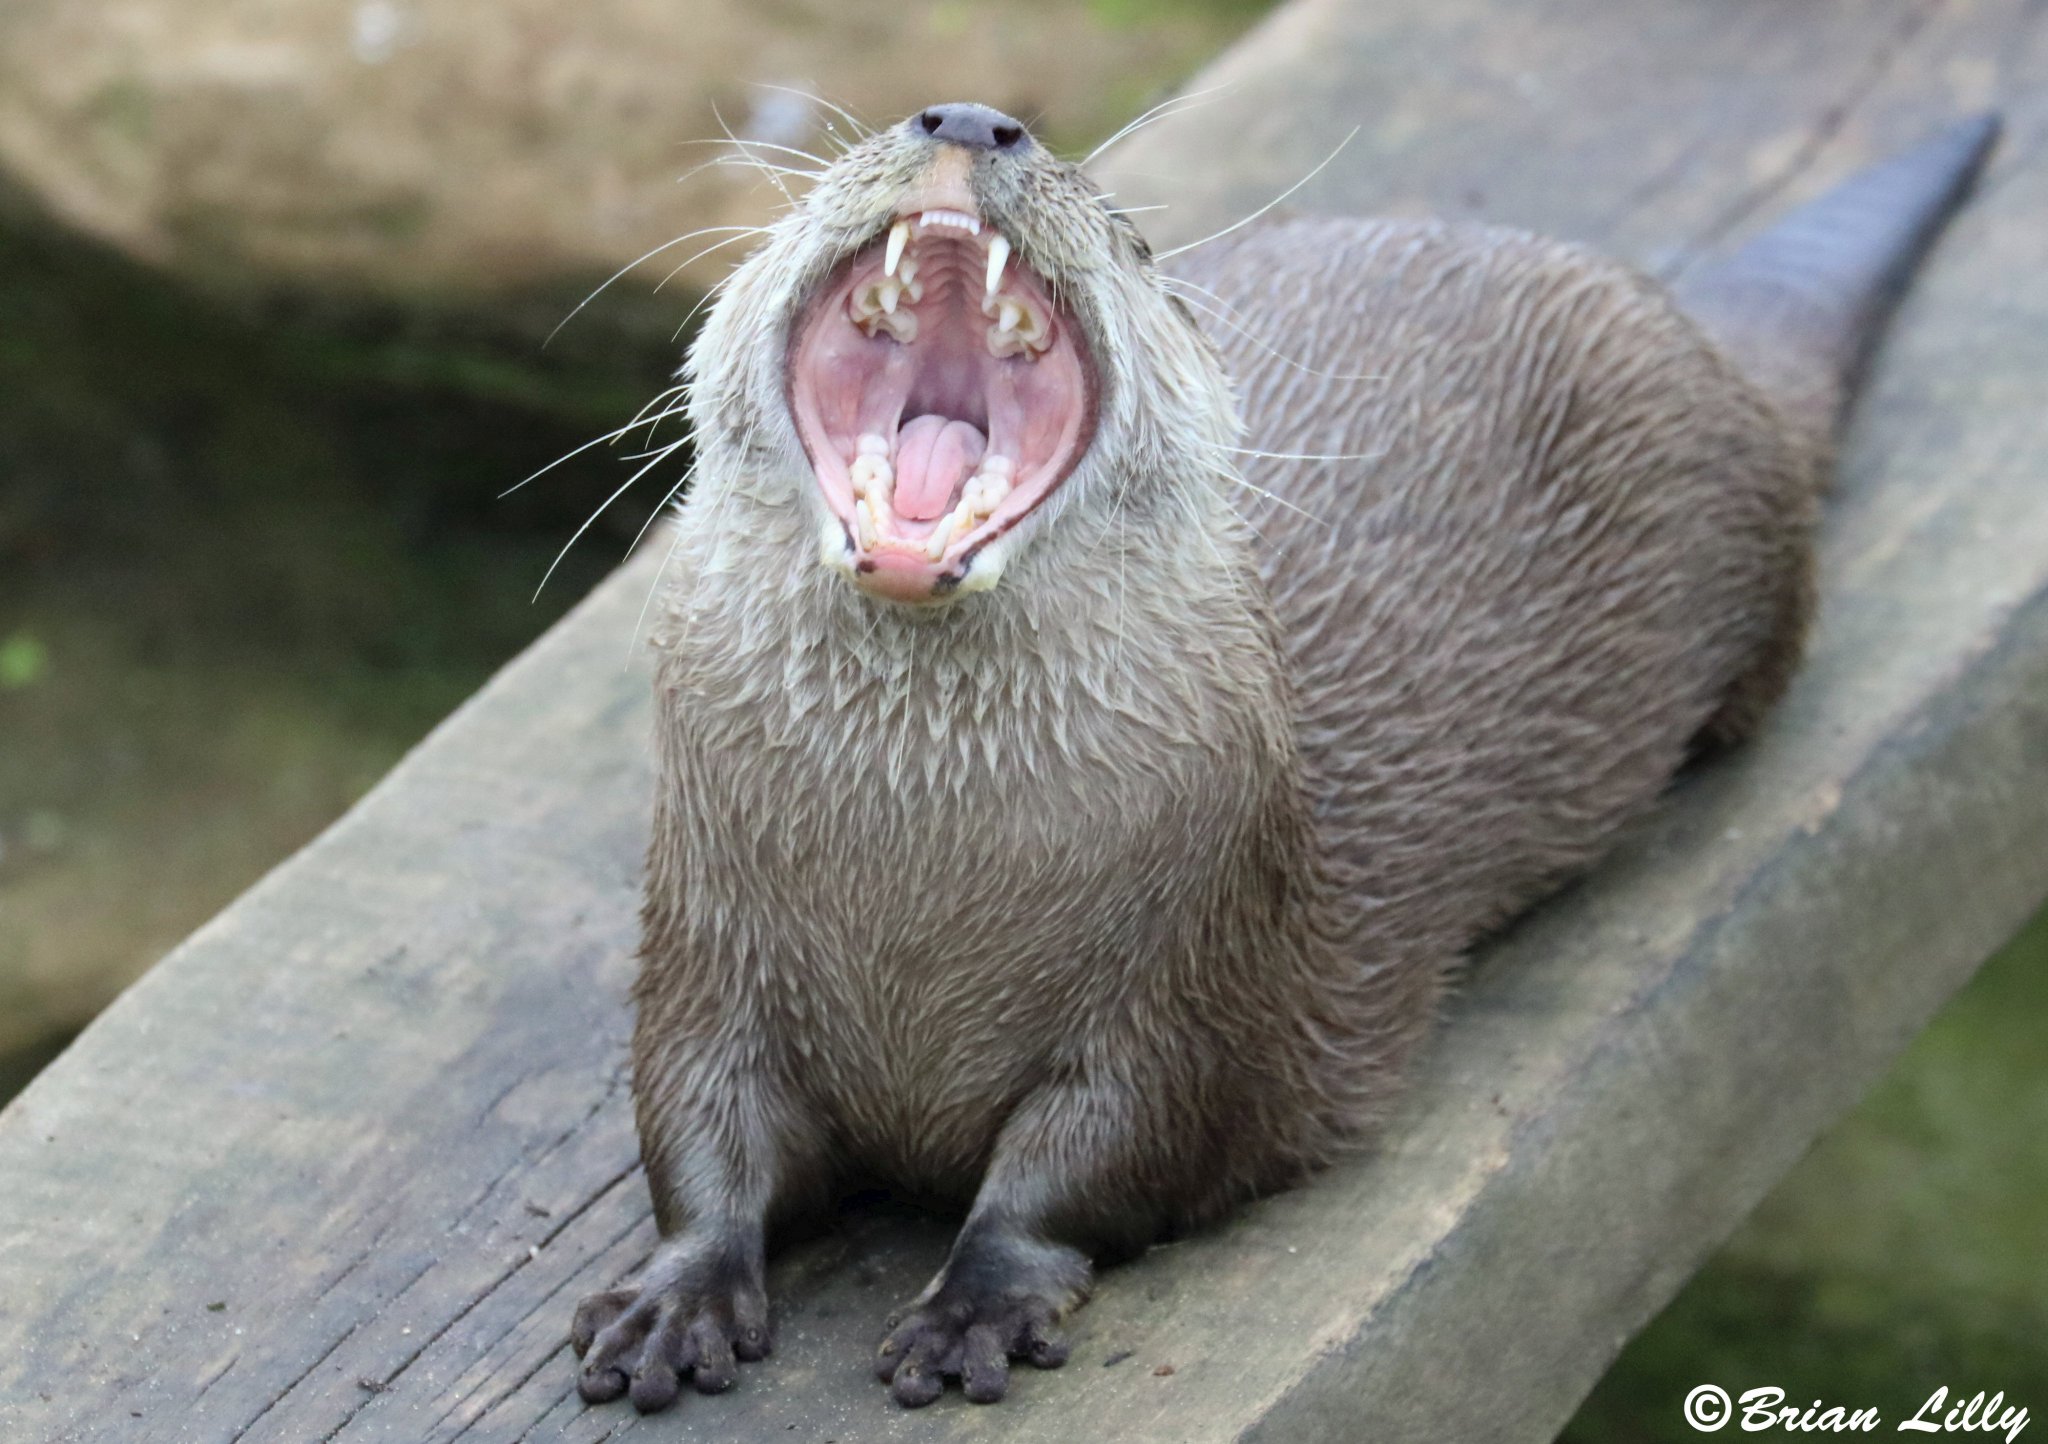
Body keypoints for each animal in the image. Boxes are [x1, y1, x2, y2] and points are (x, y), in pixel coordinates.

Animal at [568, 101, 1999, 1413]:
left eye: (1135, 240)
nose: (969, 118)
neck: (913, 886)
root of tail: (1672, 320)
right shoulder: (704, 938)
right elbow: (694, 1121)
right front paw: (673, 1296)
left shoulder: (1193, 975)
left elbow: (1101, 1153)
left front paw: (977, 1301)